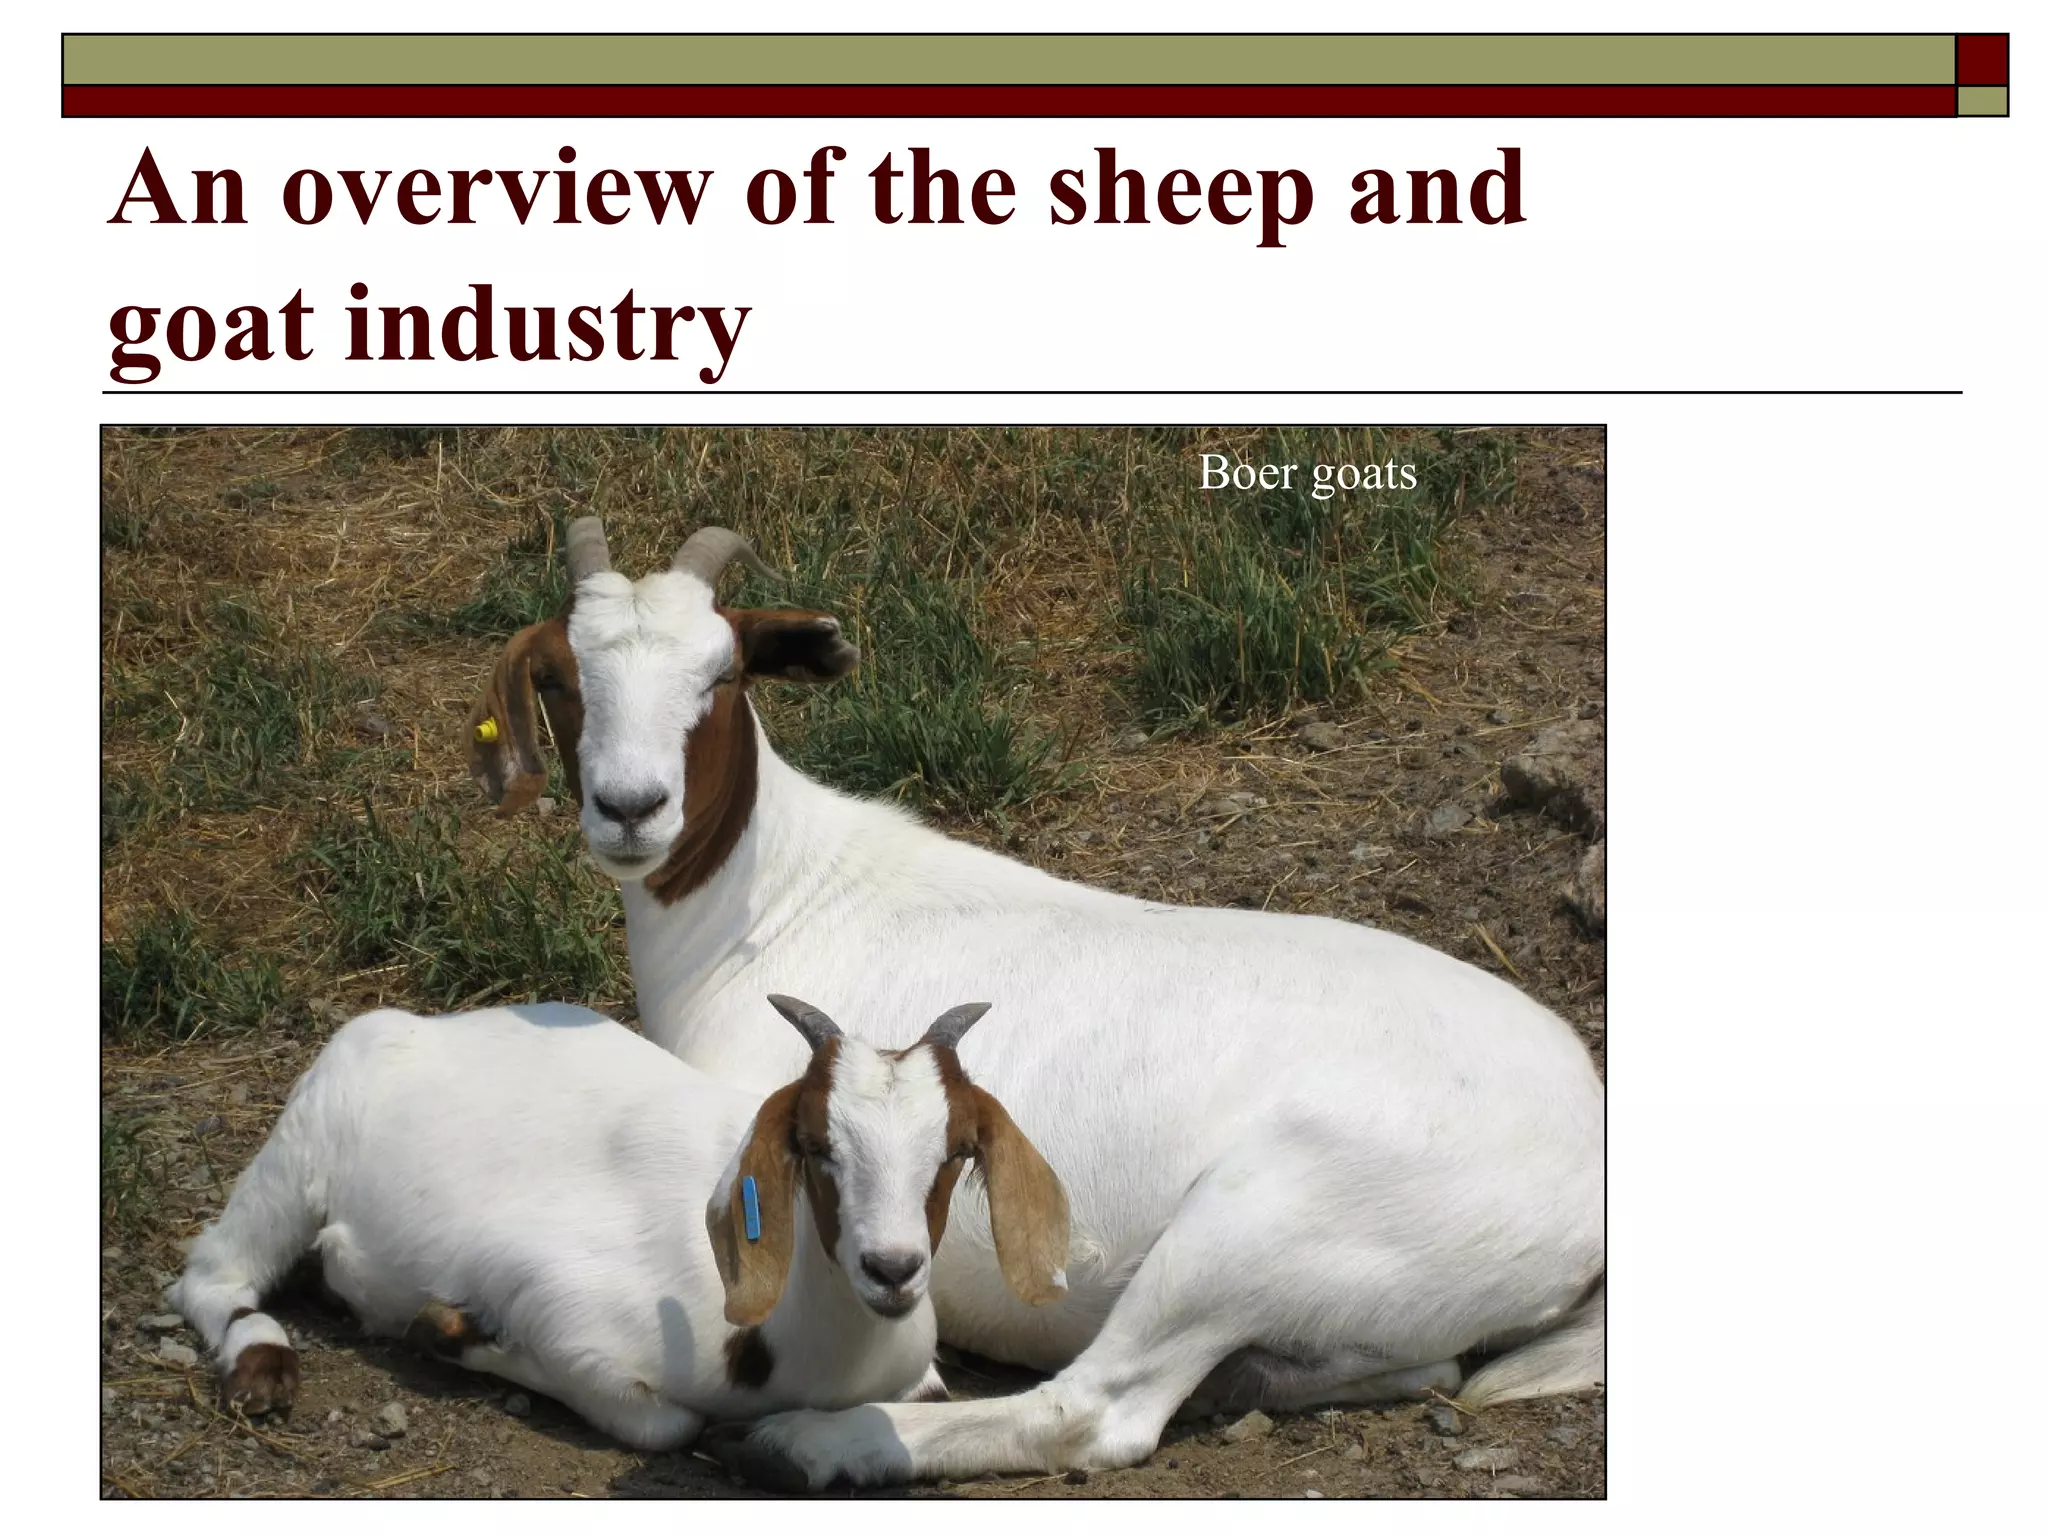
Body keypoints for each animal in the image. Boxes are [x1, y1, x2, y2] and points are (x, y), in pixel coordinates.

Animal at [166, 995, 1069, 1451]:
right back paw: (263, 1362)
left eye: (956, 1152)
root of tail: (420, 1025)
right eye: (816, 1147)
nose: (892, 1268)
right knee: (212, 1271)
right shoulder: (559, 1306)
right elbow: (663, 1423)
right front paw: (447, 1327)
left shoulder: (916, 1377)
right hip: (301, 1152)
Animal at [464, 519, 1605, 1487]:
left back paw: (816, 1445)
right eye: (562, 678)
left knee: (1094, 1410)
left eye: (723, 671)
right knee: (1416, 1368)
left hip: (1271, 1214)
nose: (630, 809)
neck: (773, 902)